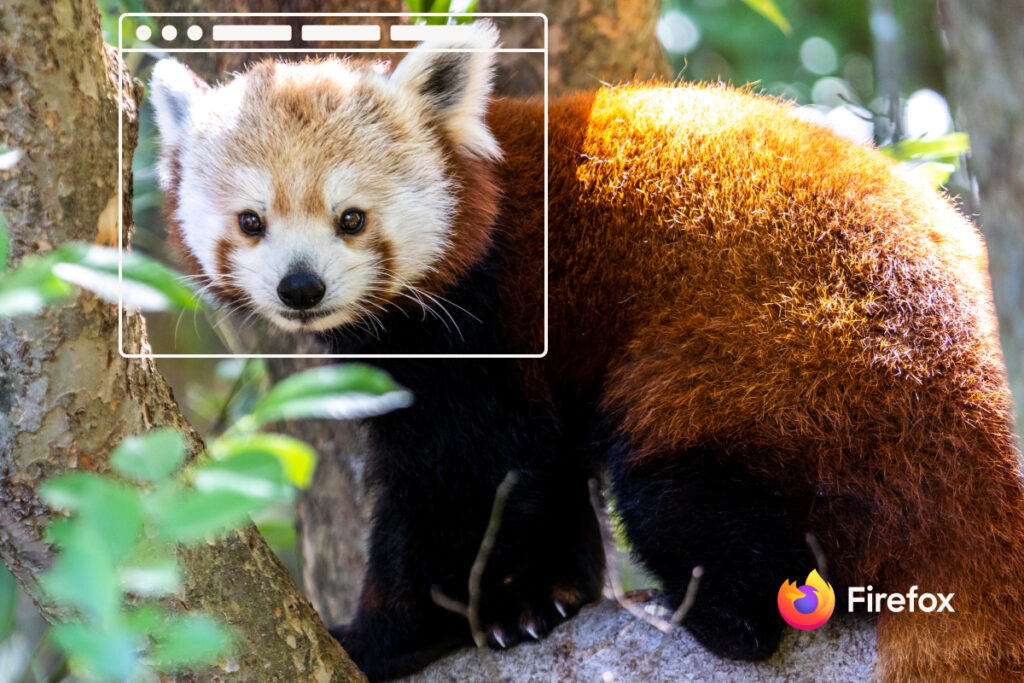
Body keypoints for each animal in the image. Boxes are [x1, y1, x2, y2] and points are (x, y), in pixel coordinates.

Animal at [150, 22, 1024, 682]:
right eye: (252, 221)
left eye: (352, 218)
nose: (301, 286)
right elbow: (538, 471)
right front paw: (544, 597)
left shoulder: (484, 323)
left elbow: (456, 485)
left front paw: (382, 635)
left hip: (789, 370)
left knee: (678, 484)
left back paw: (722, 612)